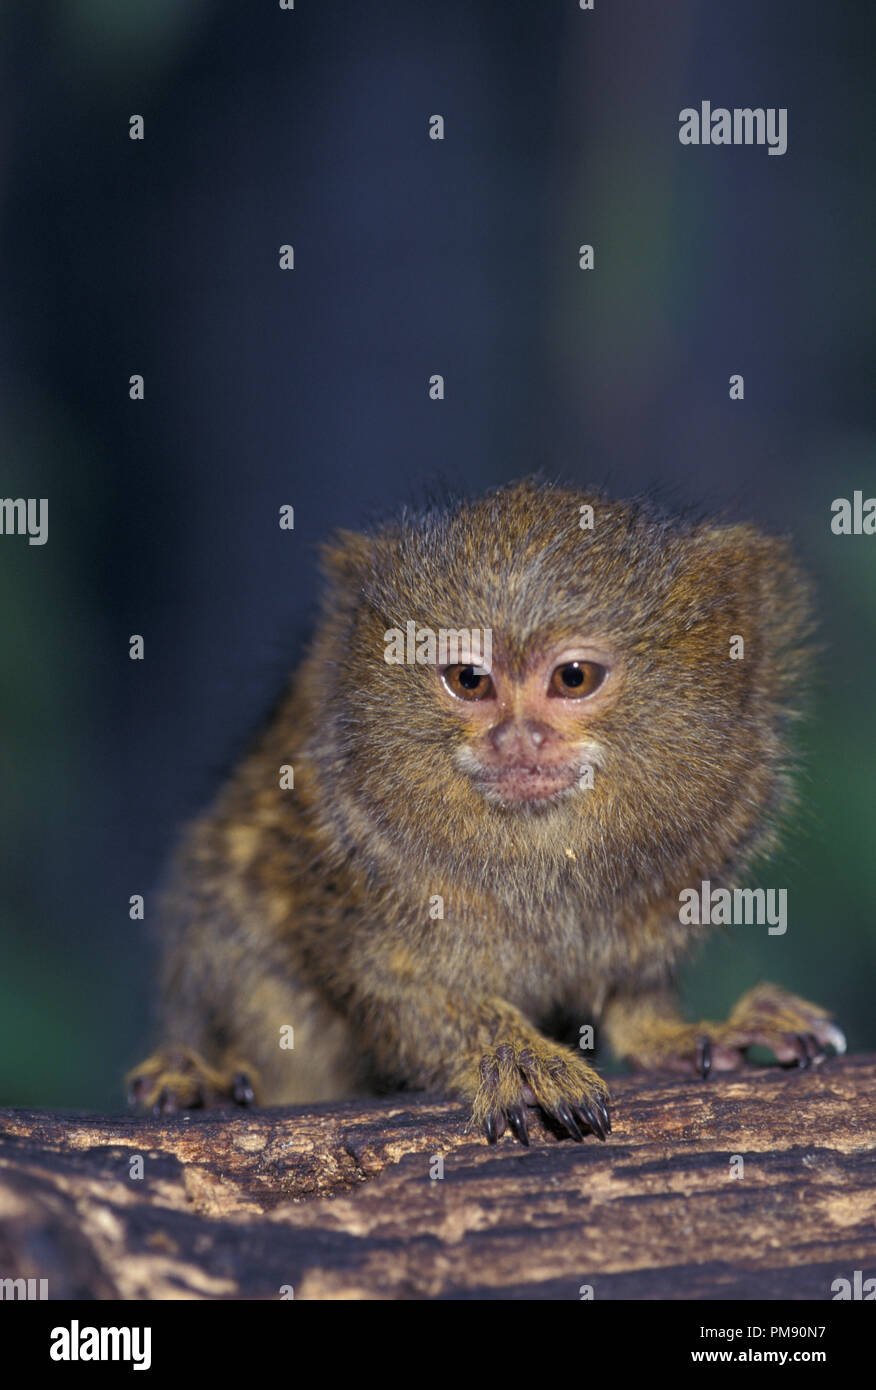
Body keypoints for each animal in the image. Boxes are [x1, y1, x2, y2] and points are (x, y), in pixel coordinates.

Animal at [128, 478, 846, 1145]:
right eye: (469, 680)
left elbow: (632, 990)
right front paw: (514, 1056)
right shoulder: (350, 856)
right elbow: (393, 988)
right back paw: (196, 1078)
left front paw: (681, 1032)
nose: (516, 739)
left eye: (574, 677)